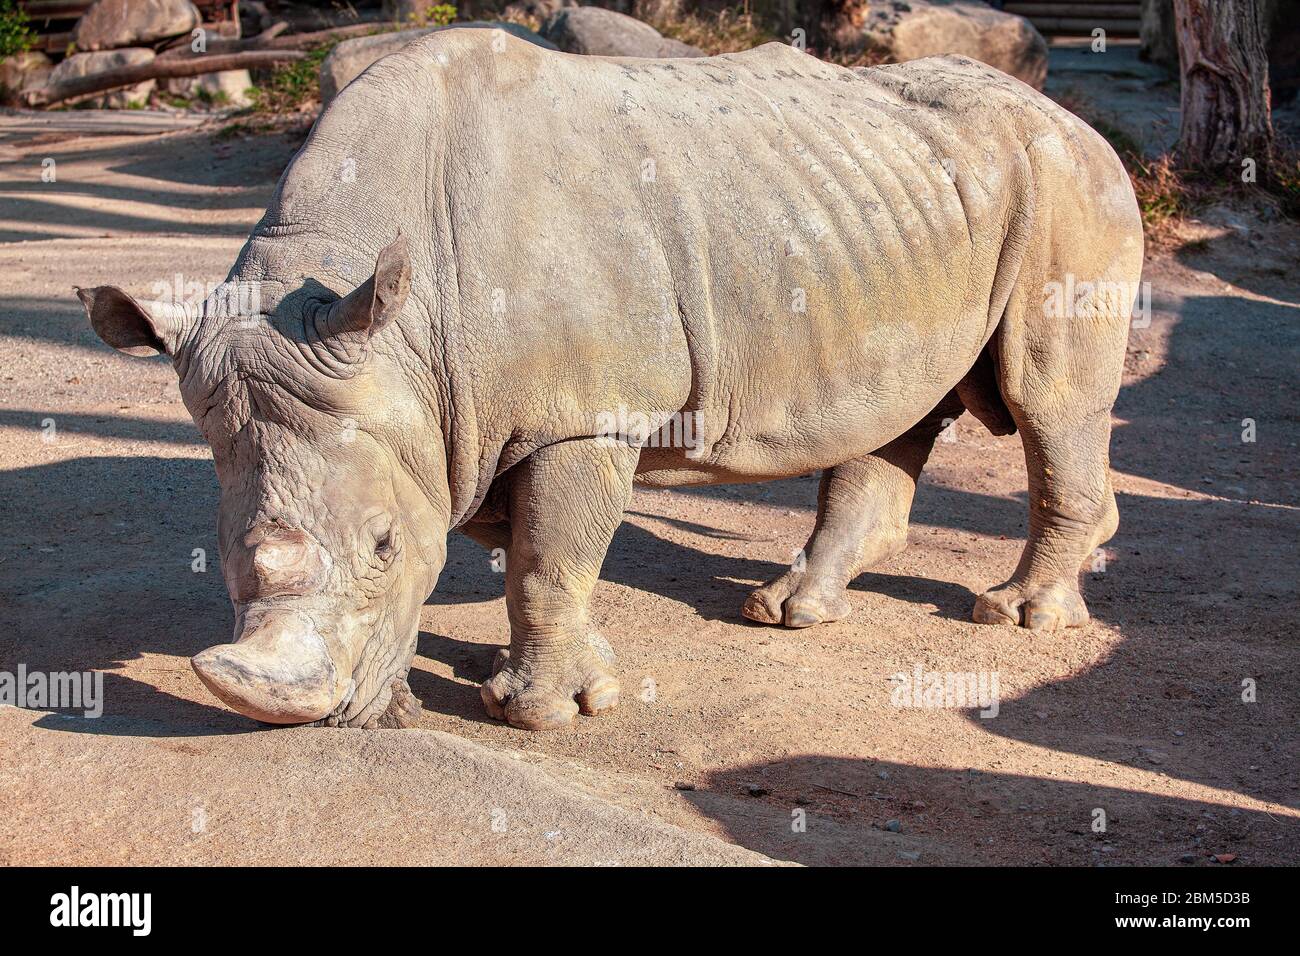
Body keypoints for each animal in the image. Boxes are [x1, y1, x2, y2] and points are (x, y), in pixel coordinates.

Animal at [78, 32, 1143, 731]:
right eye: (222, 551)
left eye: (383, 548)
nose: (307, 719)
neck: (403, 327)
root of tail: (1082, 125)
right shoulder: (460, 416)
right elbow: (536, 549)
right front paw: (578, 680)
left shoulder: (580, 416)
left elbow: (551, 556)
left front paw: (540, 714)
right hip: (913, 204)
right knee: (894, 408)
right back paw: (790, 610)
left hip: (1069, 188)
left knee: (1050, 402)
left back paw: (1015, 615)